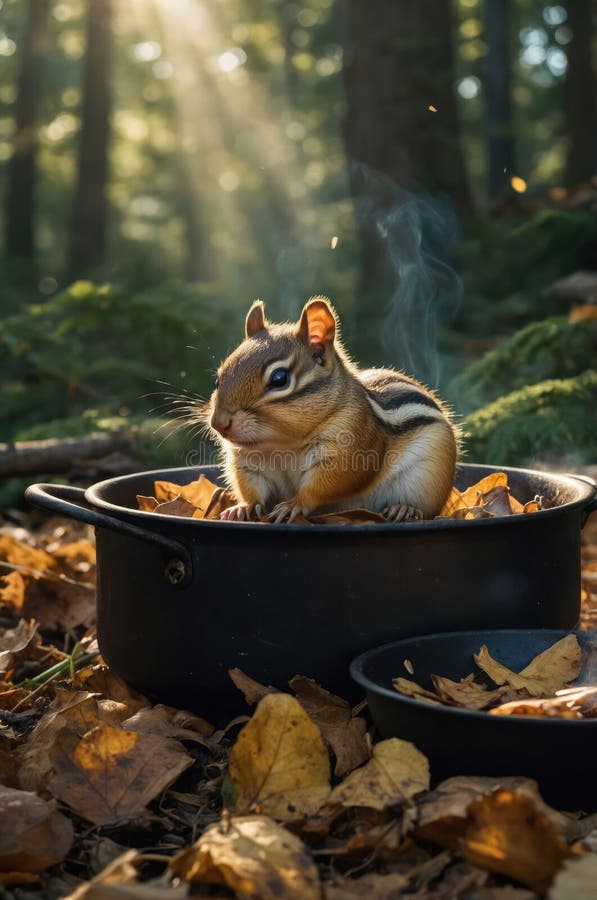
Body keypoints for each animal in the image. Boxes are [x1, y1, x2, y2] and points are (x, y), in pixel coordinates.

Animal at [207, 297, 458, 523]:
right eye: (218, 379)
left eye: (279, 379)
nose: (219, 424)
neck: (282, 444)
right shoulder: (248, 462)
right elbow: (250, 487)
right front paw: (242, 508)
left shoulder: (350, 448)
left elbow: (328, 484)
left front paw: (294, 504)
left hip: (429, 476)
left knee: (426, 510)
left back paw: (405, 509)